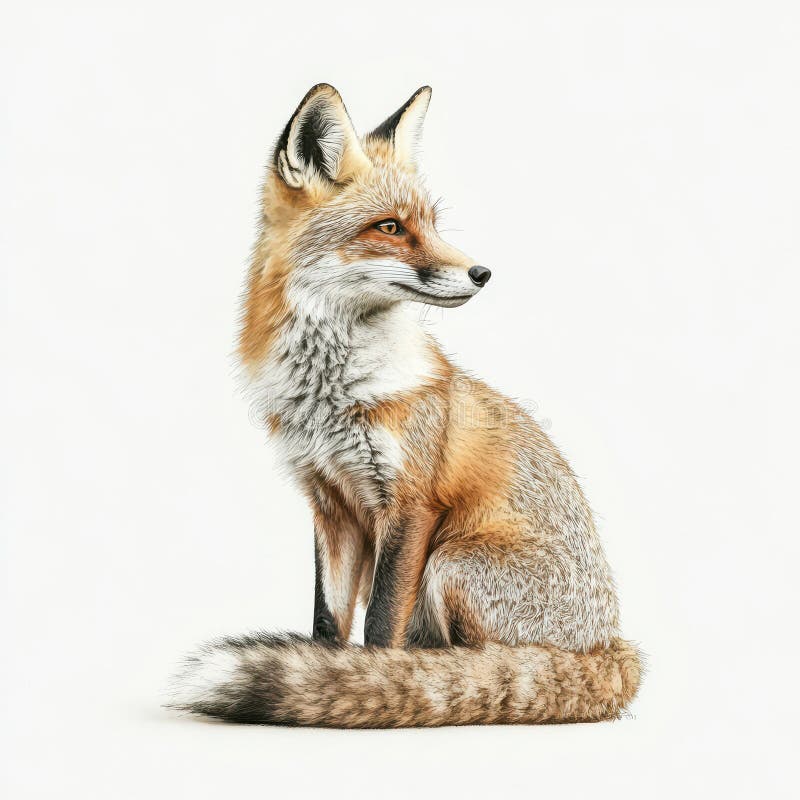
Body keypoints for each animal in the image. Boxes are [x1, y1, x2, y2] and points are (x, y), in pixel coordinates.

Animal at [171, 84, 642, 727]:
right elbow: (327, 625)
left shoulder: (412, 504)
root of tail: (611, 647)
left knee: (487, 661)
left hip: (451, 562)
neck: (332, 394)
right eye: (390, 226)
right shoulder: (331, 505)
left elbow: (379, 623)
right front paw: (330, 680)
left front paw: (374, 686)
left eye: (432, 224)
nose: (482, 272)